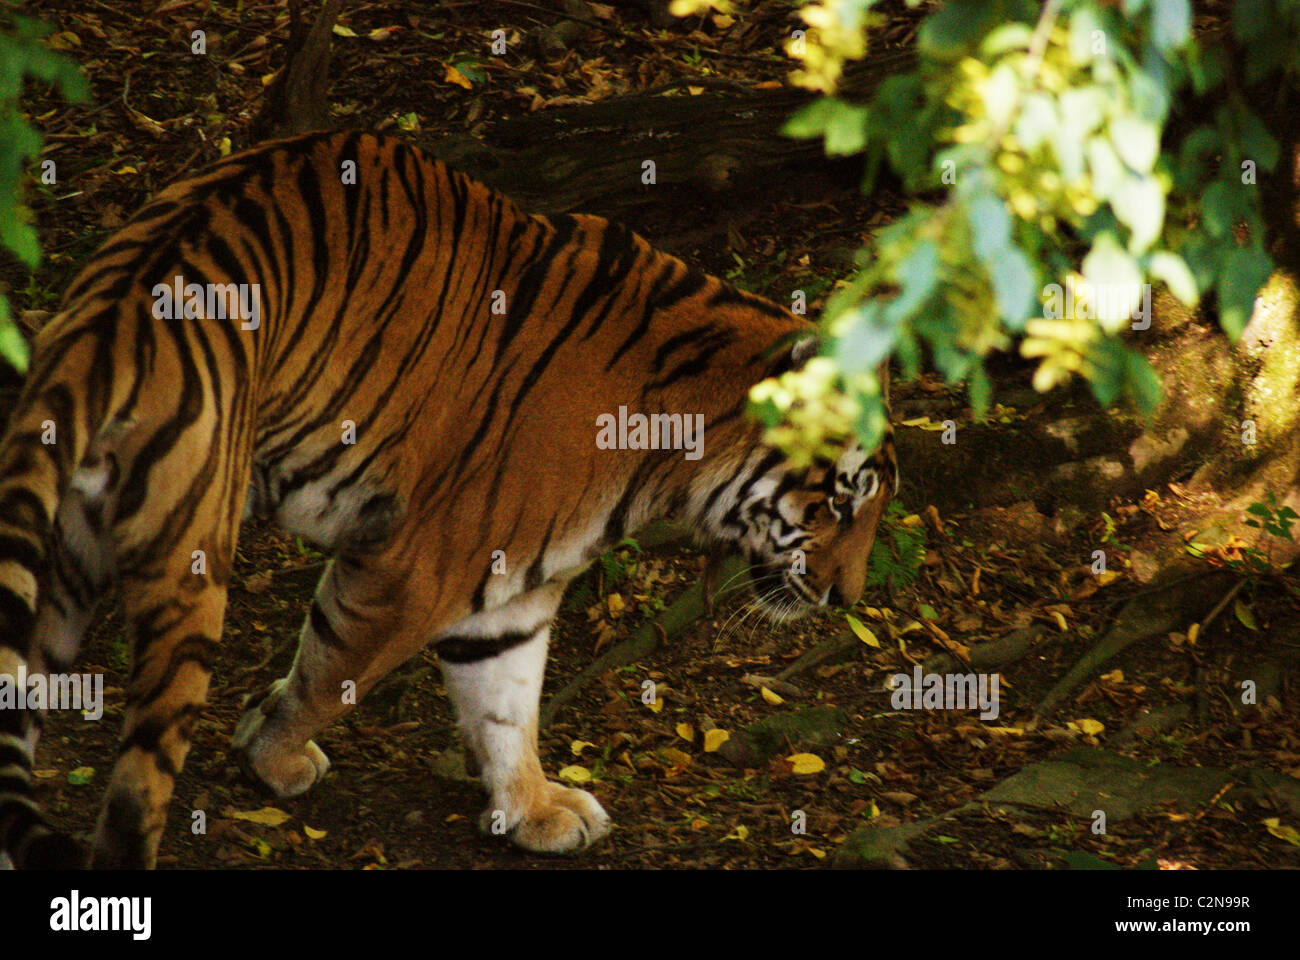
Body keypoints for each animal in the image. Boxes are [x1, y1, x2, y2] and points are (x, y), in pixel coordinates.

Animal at [0, 130, 897, 869]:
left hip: (57, 572)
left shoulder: (511, 588)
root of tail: (106, 326)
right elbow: (329, 675)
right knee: (135, 794)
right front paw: (271, 754)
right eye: (840, 503)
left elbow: (505, 703)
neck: (677, 437)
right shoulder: (413, 569)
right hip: (185, 576)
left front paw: (533, 809)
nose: (849, 597)